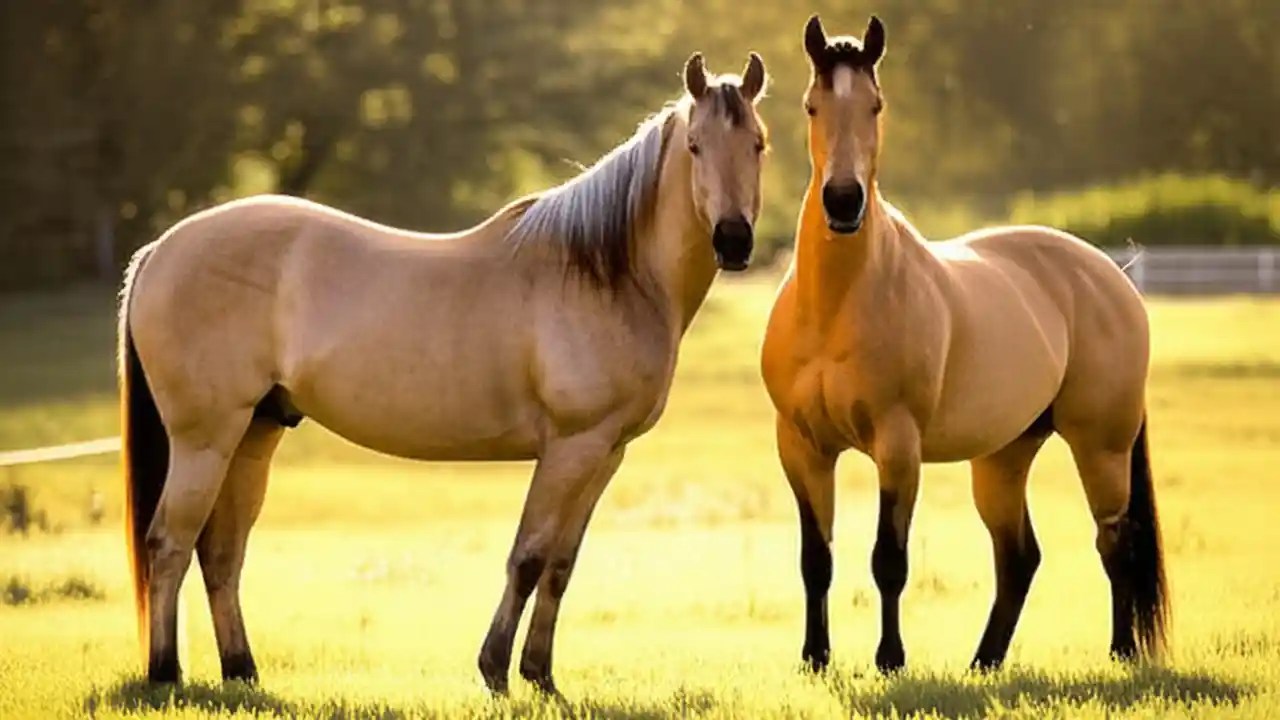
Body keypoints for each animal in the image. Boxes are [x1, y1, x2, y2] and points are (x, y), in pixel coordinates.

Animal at [119, 51, 771, 695]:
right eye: (695, 146)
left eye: (758, 144)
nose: (734, 240)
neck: (607, 273)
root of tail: (158, 251)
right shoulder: (570, 448)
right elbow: (529, 557)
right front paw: (496, 672)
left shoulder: (606, 452)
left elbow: (561, 565)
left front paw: (541, 676)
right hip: (205, 438)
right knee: (169, 543)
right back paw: (165, 674)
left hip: (255, 433)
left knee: (221, 552)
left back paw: (241, 671)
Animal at [761, 15, 1168, 674]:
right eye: (811, 105)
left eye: (875, 105)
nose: (844, 201)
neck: (837, 306)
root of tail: (1112, 275)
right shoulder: (802, 447)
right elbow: (815, 559)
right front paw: (815, 658)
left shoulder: (897, 446)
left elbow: (888, 559)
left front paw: (890, 660)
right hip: (1004, 456)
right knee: (1019, 556)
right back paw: (985, 661)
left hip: (1100, 447)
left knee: (1116, 540)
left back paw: (1122, 653)